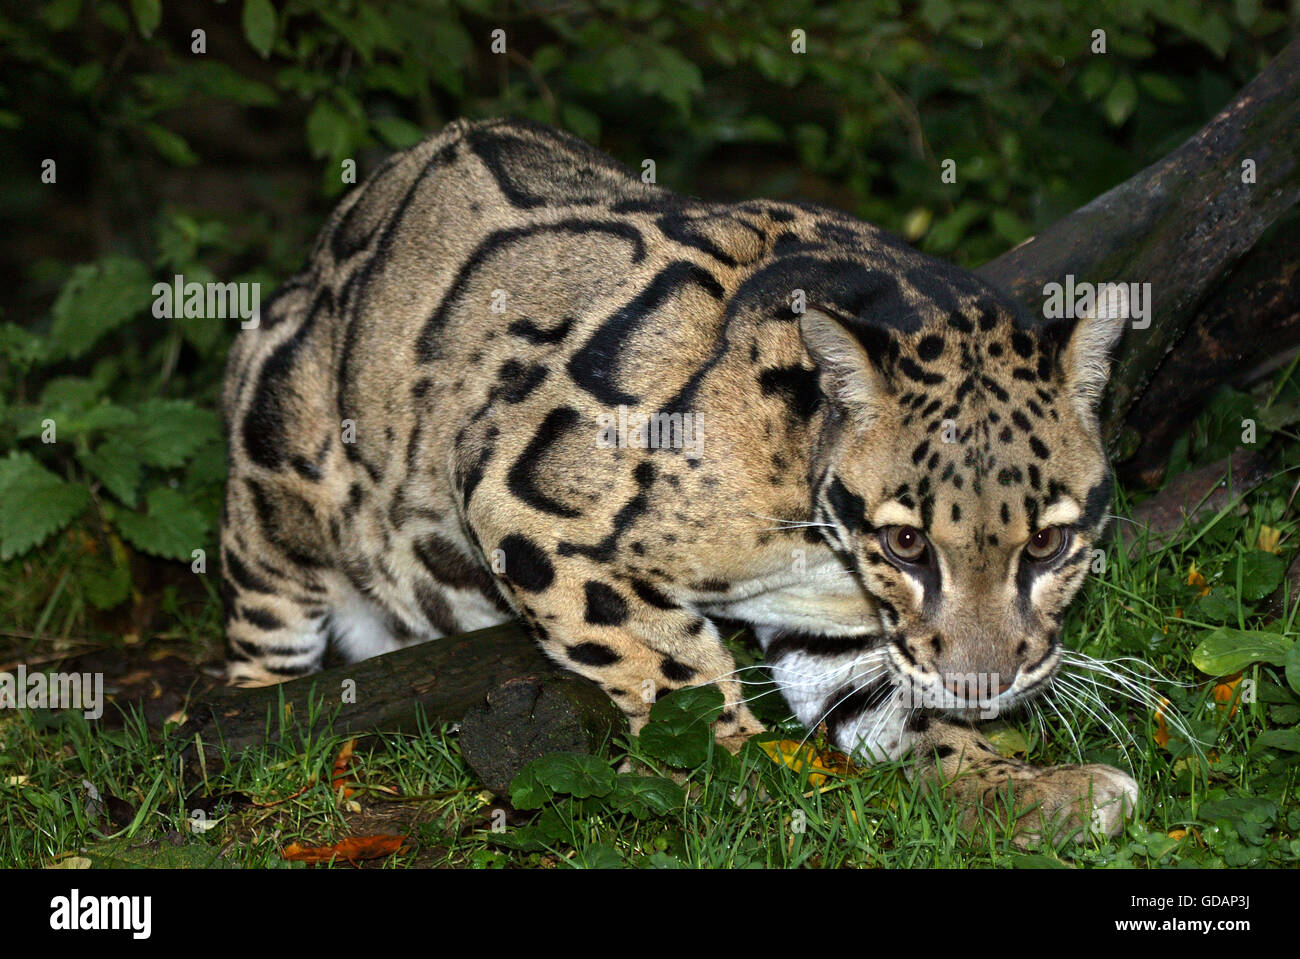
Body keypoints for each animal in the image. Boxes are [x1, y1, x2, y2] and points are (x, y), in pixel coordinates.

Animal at [220, 117, 1139, 845]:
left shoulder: (840, 627)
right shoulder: (518, 491)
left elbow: (899, 709)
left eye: (1049, 543)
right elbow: (673, 669)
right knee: (257, 646)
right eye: (908, 541)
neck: (809, 525)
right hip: (276, 479)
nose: (984, 682)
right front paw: (734, 785)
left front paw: (1018, 789)